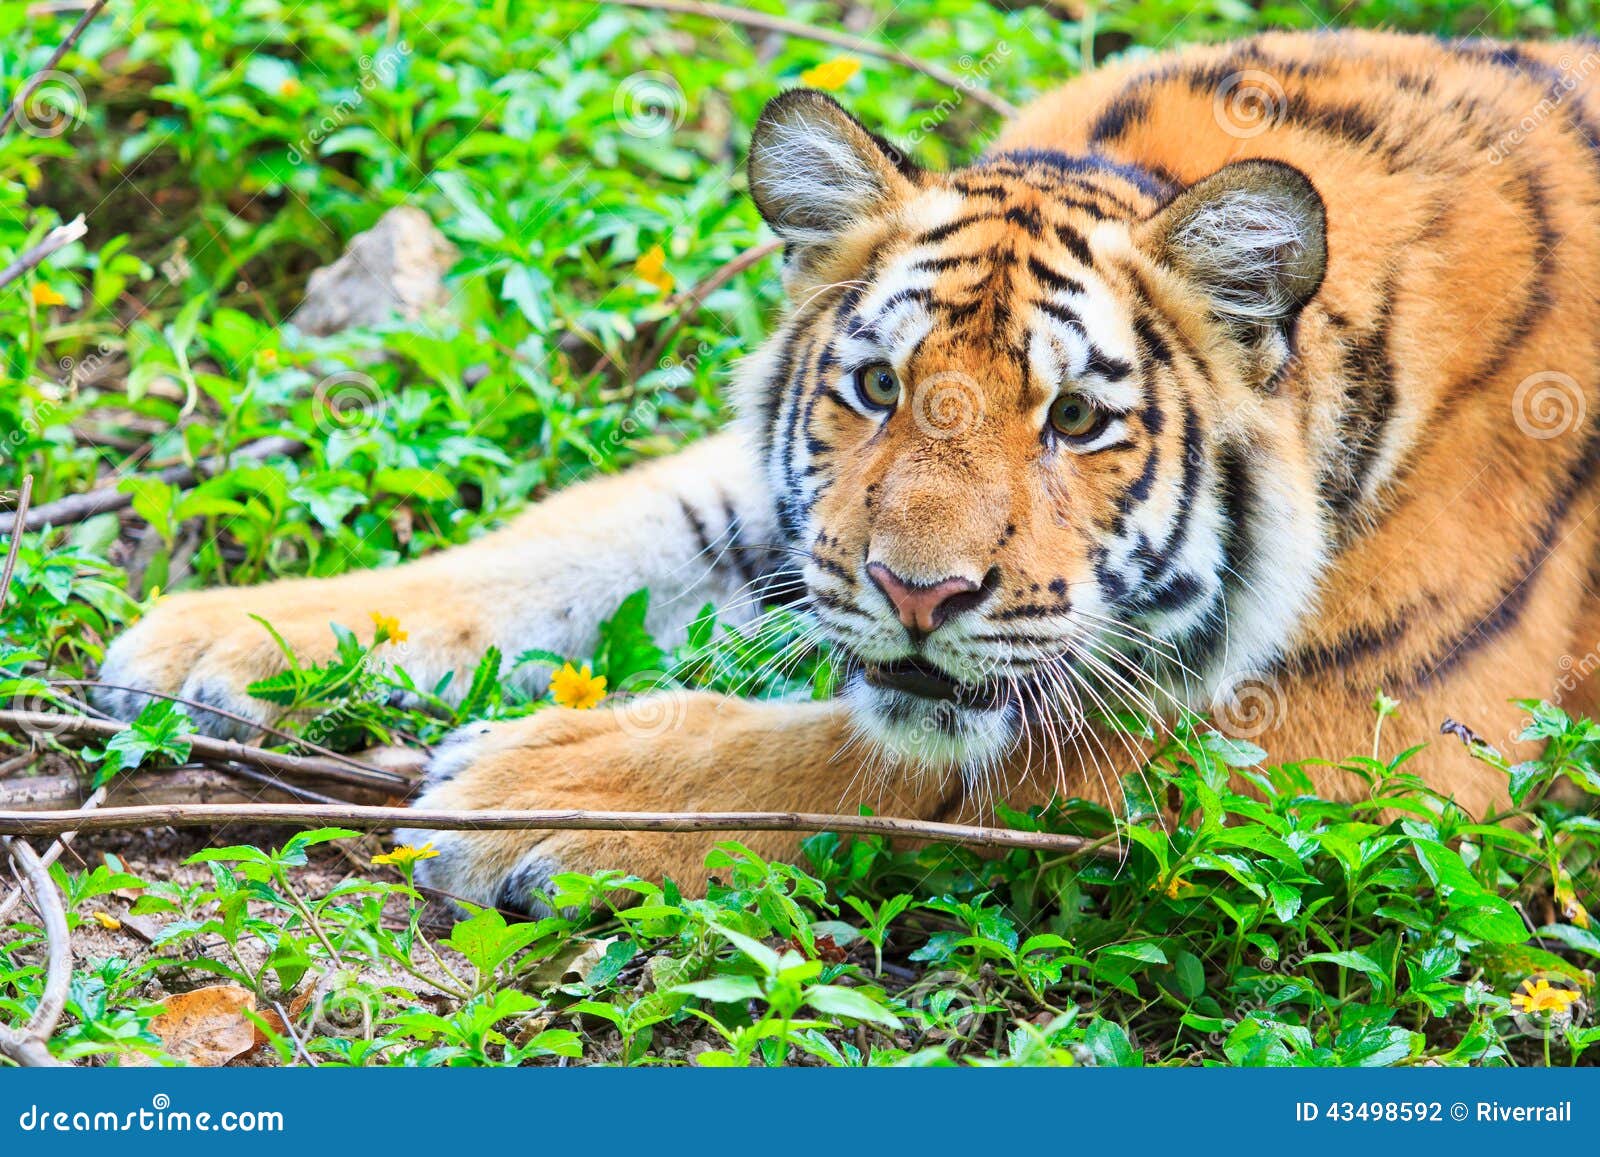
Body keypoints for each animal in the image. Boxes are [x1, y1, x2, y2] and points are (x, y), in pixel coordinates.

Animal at [98, 28, 1600, 913]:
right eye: (878, 388)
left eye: (1075, 420)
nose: (917, 593)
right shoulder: (783, 508)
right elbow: (559, 542)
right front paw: (224, 634)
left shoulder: (1345, 735)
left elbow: (856, 755)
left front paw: (524, 791)